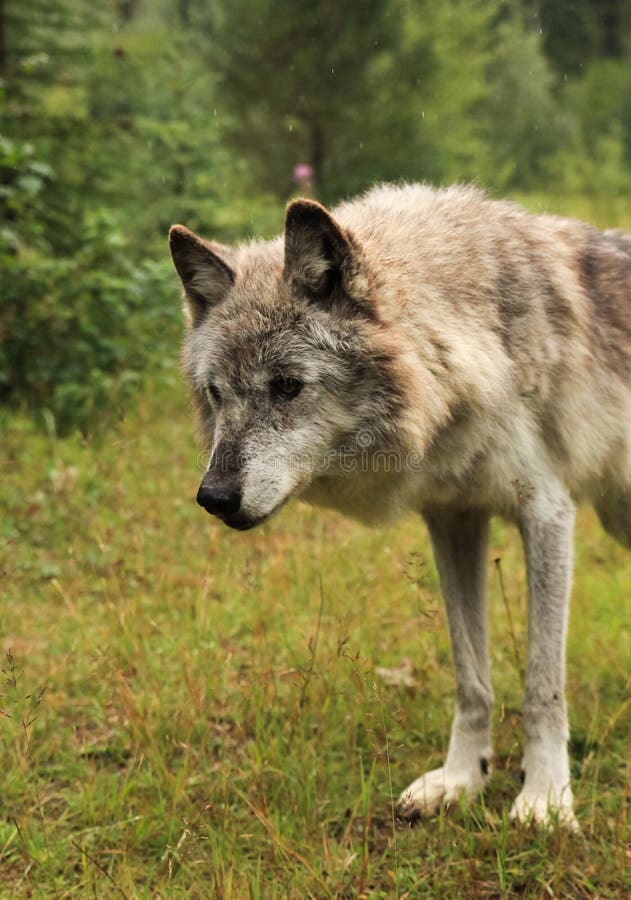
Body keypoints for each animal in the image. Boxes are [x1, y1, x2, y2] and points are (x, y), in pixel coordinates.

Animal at [169, 183, 631, 829]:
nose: (212, 497)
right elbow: (470, 677)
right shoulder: (453, 519)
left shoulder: (546, 516)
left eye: (287, 386)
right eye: (216, 394)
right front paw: (462, 779)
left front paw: (544, 798)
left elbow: (543, 684)